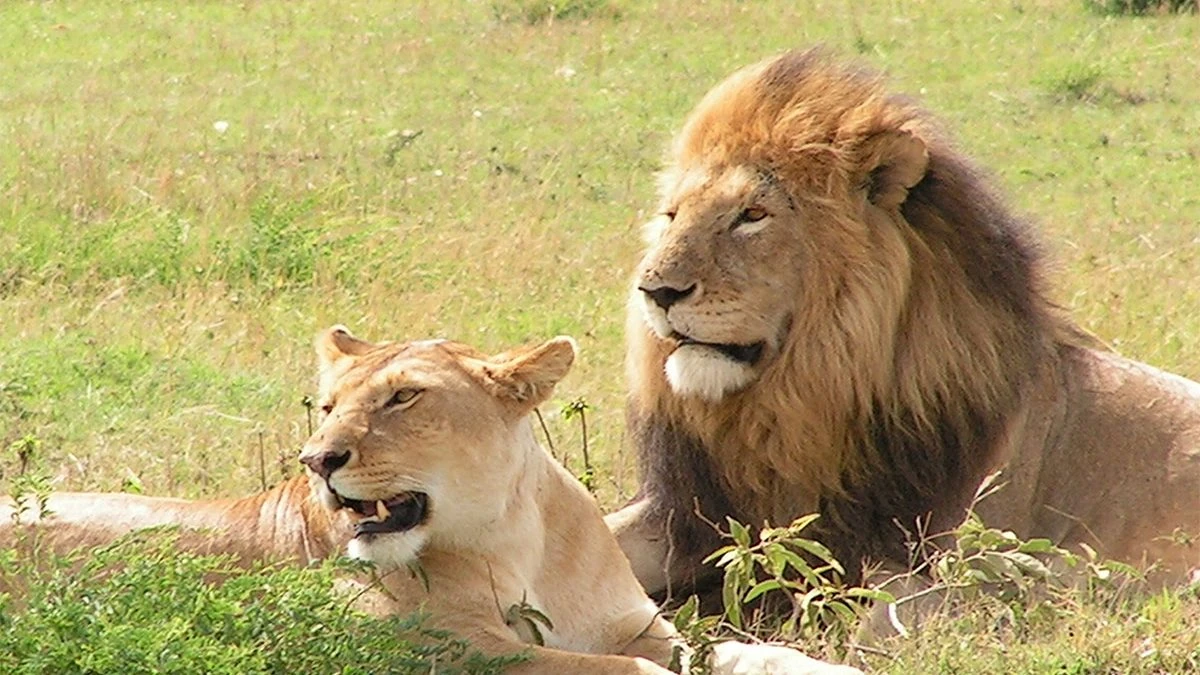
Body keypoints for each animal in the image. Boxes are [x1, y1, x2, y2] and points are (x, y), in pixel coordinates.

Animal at [2, 327, 859, 675]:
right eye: (327, 406)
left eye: (402, 397)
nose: (316, 460)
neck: (513, 538)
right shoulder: (446, 650)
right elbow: (624, 670)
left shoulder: (638, 624)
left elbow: (741, 650)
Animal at [606, 48, 1200, 608]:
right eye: (672, 215)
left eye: (752, 215)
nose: (654, 291)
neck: (795, 403)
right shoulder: (691, 515)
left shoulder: (956, 556)